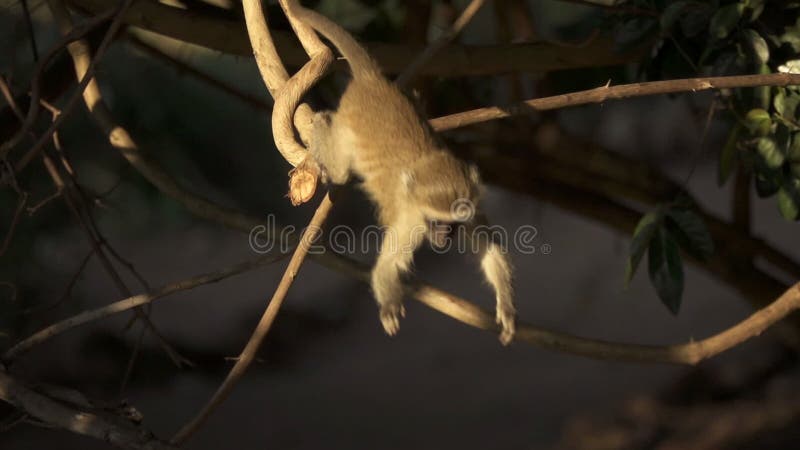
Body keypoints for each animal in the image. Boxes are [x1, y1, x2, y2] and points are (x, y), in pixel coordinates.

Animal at [285, 0, 516, 344]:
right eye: (436, 223)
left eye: (453, 225)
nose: (443, 238)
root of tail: (374, 82)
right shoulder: (412, 222)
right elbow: (387, 265)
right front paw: (389, 306)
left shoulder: (471, 209)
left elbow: (488, 251)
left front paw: (506, 306)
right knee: (339, 169)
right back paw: (322, 124)